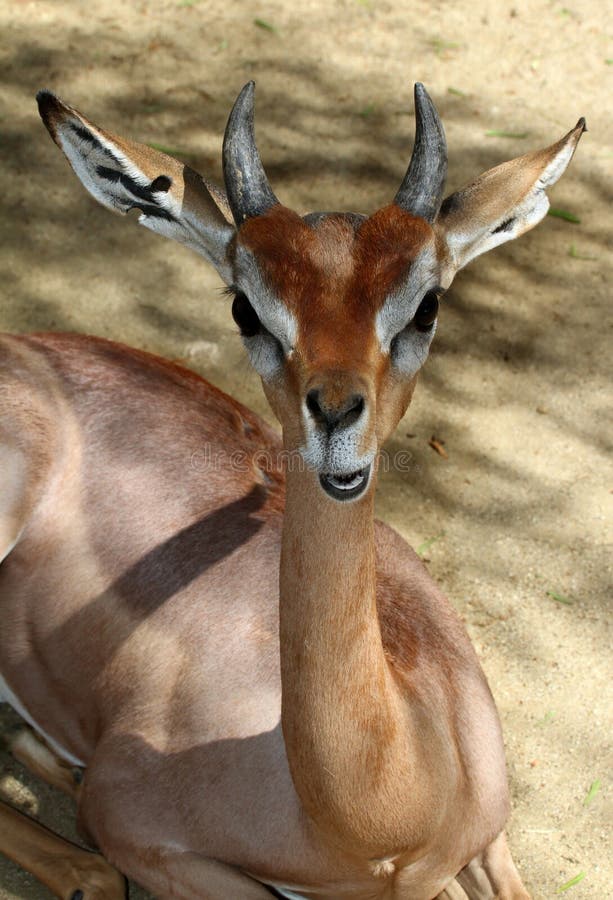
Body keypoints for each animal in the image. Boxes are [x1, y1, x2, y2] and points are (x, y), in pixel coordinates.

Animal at [0, 82, 584, 900]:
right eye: (245, 306)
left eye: (427, 303)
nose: (334, 415)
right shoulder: (135, 830)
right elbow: (105, 854)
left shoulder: (489, 840)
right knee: (87, 869)